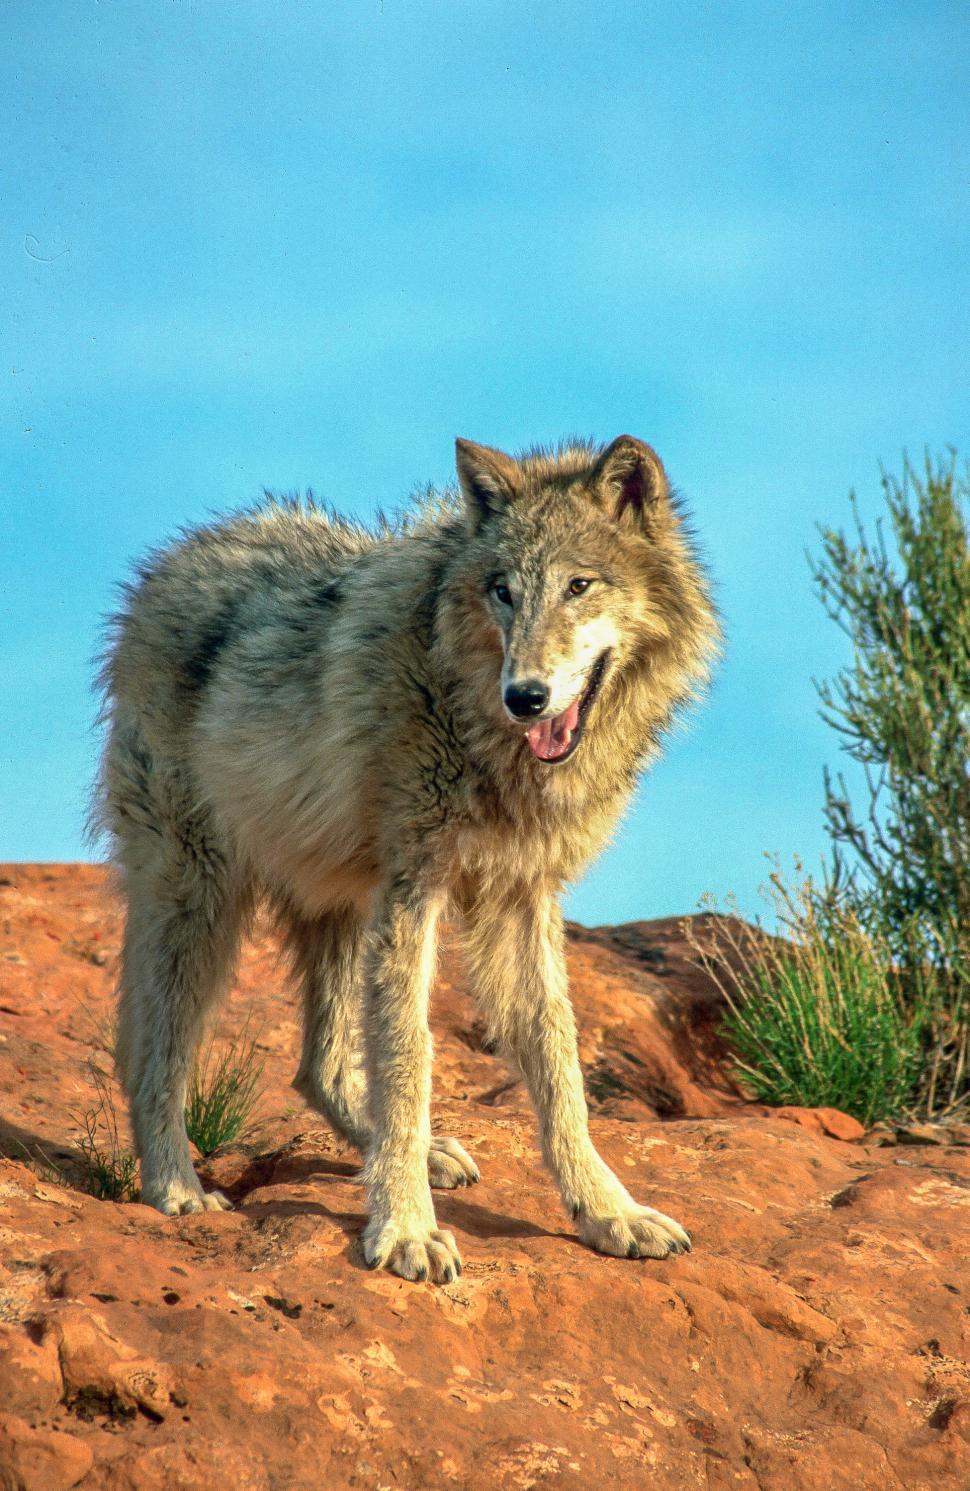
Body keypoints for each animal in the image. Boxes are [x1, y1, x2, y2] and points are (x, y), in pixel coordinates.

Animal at [95, 434, 719, 1284]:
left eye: (579, 585)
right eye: (503, 592)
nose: (526, 695)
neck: (475, 719)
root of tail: (165, 564)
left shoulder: (520, 896)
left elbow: (558, 1062)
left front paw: (607, 1211)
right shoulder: (413, 890)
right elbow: (410, 1057)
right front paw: (405, 1230)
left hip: (336, 901)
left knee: (316, 1064)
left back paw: (419, 1154)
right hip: (205, 899)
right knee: (152, 1052)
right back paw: (176, 1187)